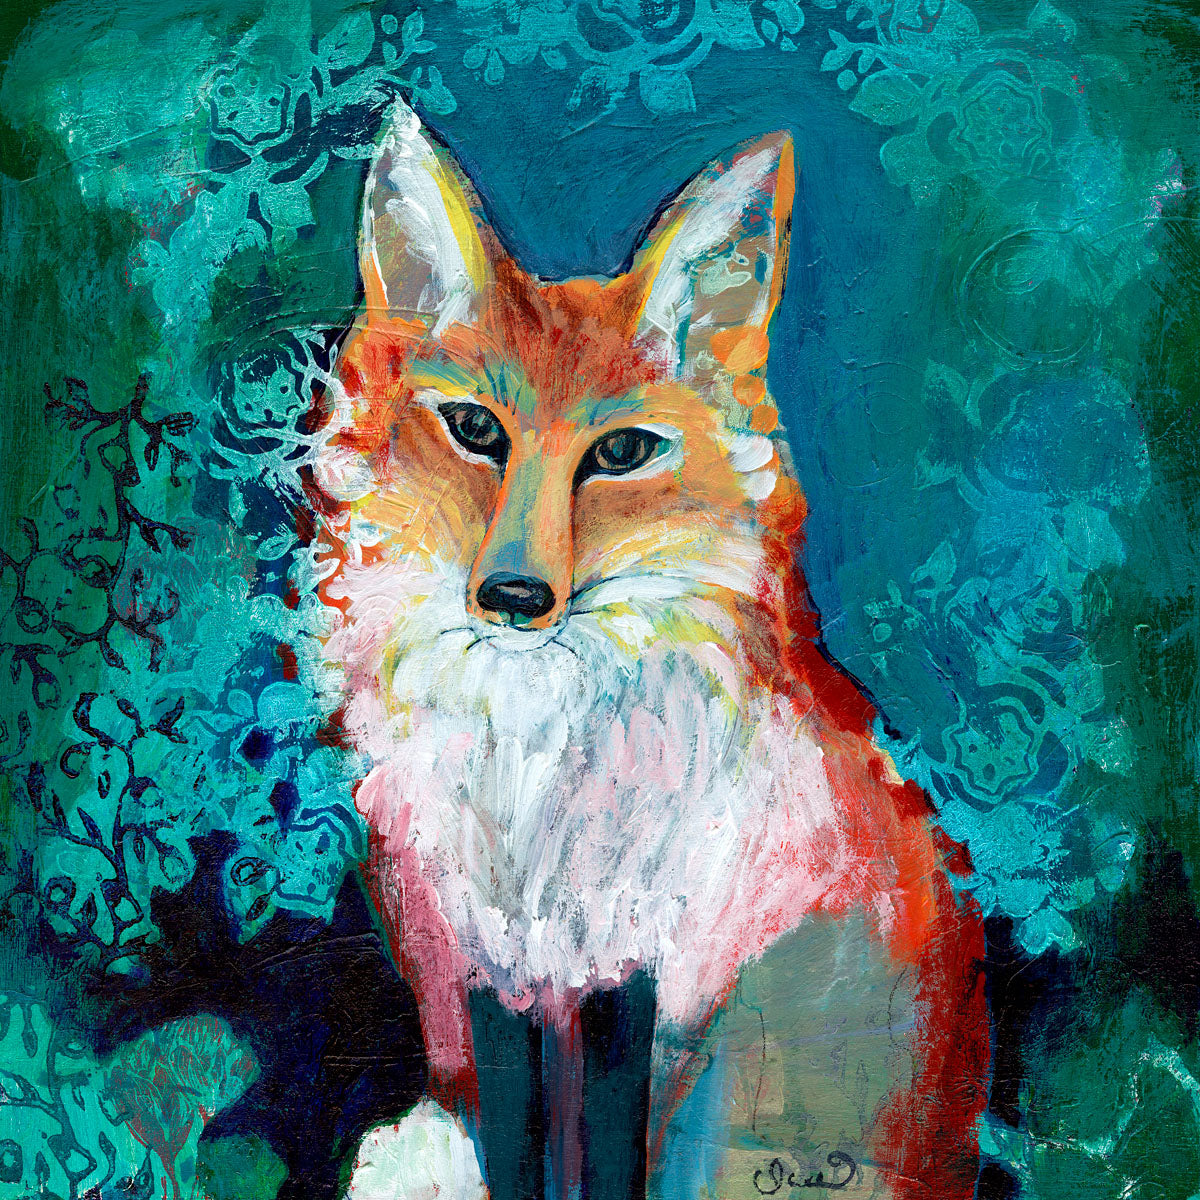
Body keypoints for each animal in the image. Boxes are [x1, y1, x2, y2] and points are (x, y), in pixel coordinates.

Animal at [310, 101, 990, 1200]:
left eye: (622, 454)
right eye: (473, 430)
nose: (514, 598)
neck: (532, 774)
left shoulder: (633, 967)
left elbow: (608, 1157)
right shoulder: (495, 966)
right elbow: (517, 1149)